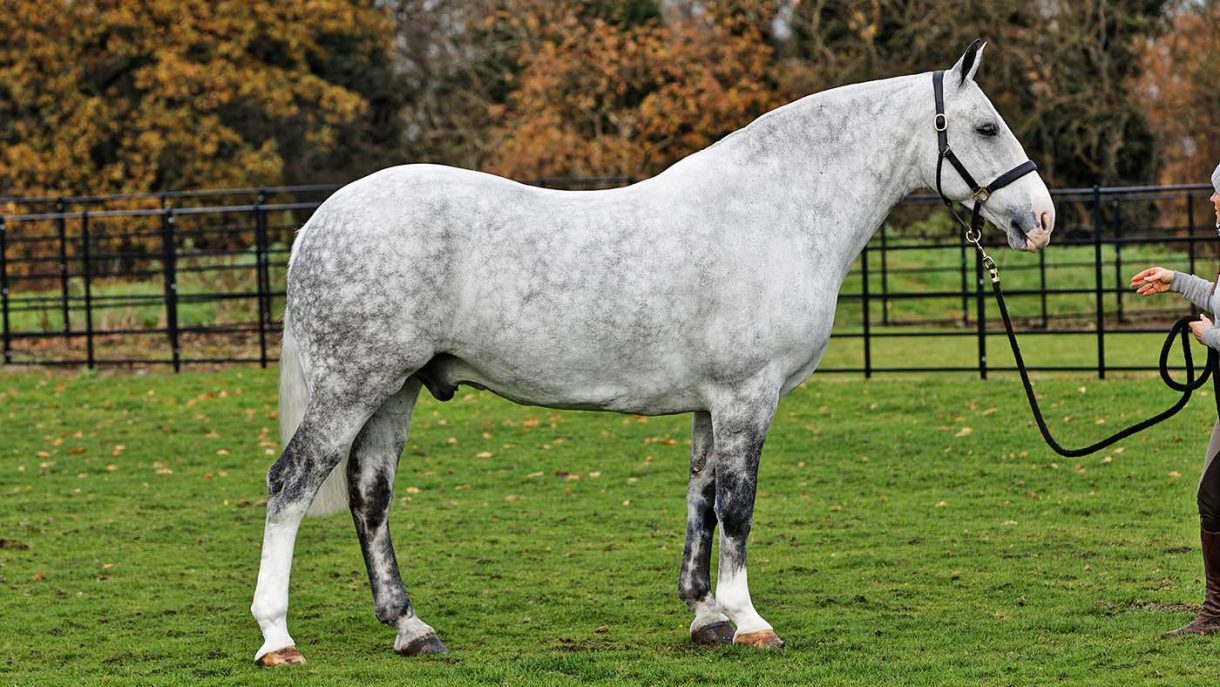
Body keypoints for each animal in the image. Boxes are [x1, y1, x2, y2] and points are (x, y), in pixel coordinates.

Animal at [250, 40, 1056, 665]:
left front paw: (705, 616)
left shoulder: (711, 403)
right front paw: (750, 621)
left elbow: (701, 499)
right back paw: (277, 637)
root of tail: (317, 222)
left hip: (398, 388)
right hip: (354, 385)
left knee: (370, 496)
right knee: (292, 484)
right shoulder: (746, 396)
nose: (1042, 219)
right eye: (987, 126)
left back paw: (411, 628)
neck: (771, 210)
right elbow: (738, 505)